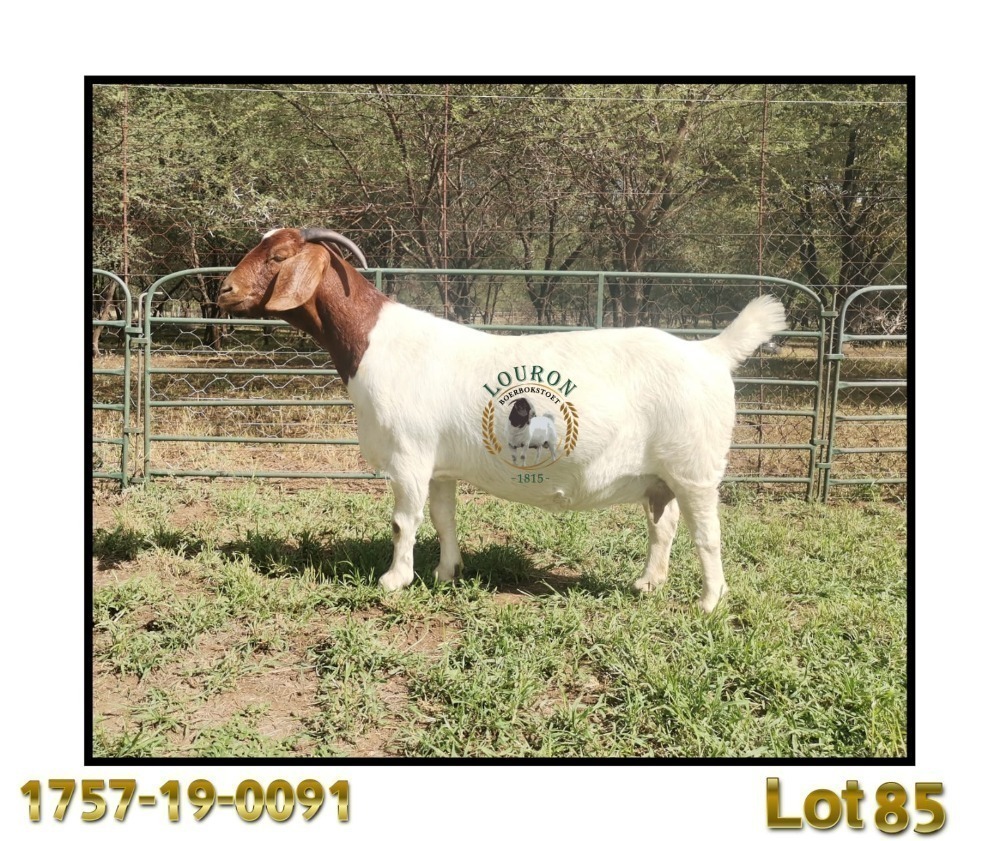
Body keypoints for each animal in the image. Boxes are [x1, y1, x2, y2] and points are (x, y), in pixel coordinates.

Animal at [218, 228, 786, 612]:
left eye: (280, 255)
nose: (224, 291)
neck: (376, 343)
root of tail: (711, 353)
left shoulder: (408, 455)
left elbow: (404, 521)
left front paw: (394, 580)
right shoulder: (440, 465)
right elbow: (443, 518)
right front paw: (447, 573)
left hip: (695, 467)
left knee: (707, 532)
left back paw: (708, 603)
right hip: (658, 475)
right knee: (662, 525)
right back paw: (648, 583)